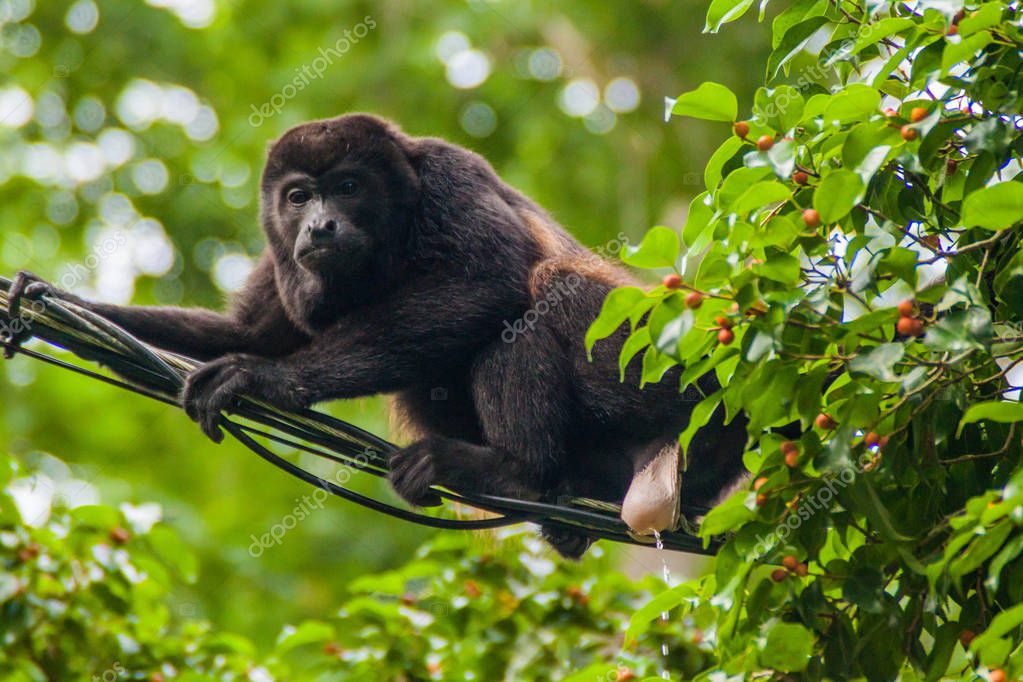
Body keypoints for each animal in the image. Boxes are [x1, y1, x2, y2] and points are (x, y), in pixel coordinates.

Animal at [2, 113, 750, 558]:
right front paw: (46, 302)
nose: (320, 226)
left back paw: (517, 469)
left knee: (539, 294)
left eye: (348, 186)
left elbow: (491, 283)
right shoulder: (283, 255)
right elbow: (247, 331)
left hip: (658, 365)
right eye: (298, 196)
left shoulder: (449, 176)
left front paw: (266, 379)